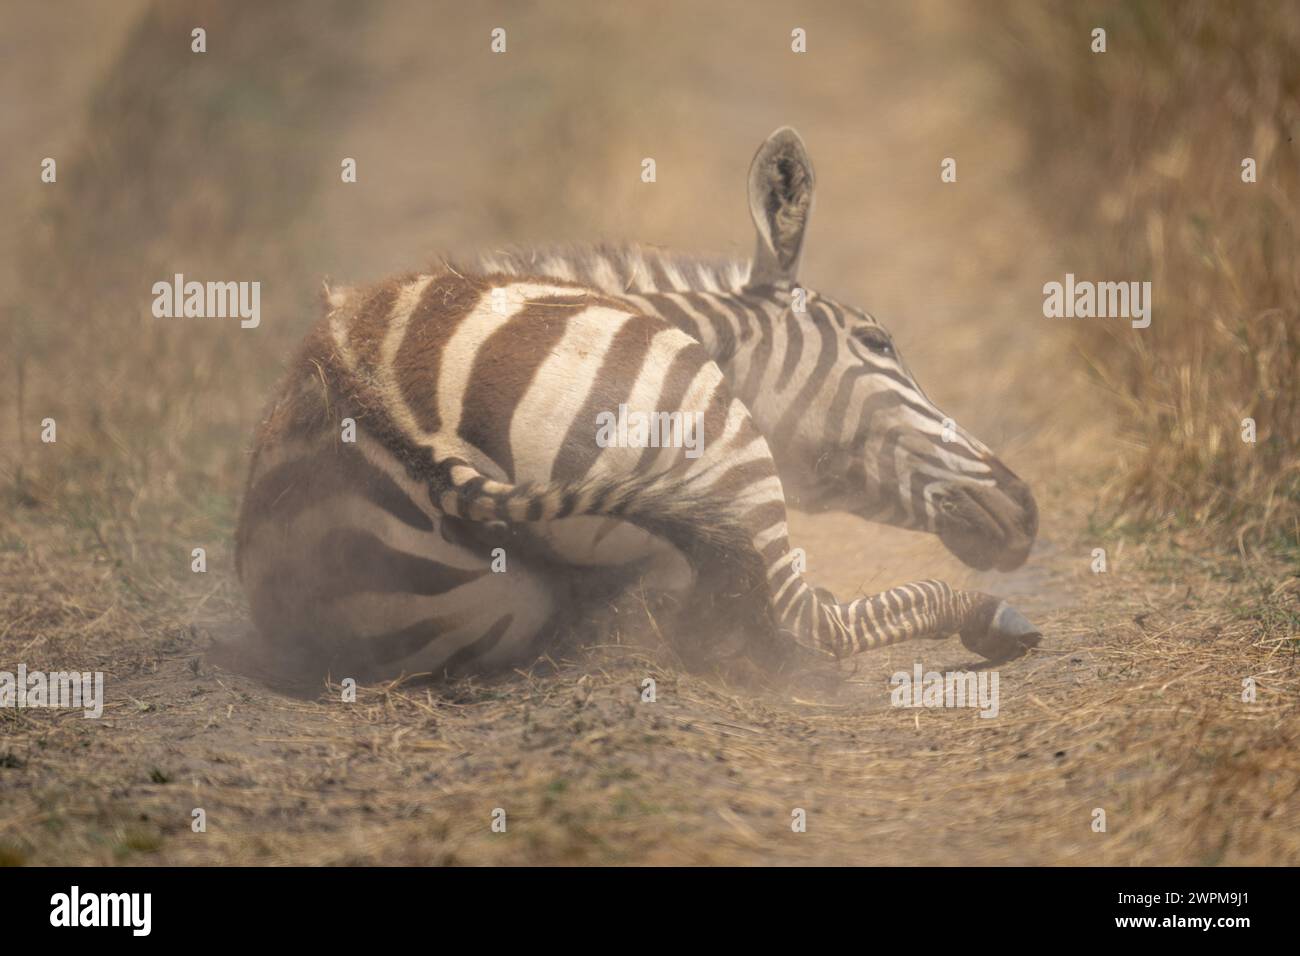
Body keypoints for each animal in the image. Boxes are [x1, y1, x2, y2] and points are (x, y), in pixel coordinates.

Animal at [235, 127, 1040, 681]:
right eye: (876, 341)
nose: (1026, 506)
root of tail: (386, 407)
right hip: (721, 435)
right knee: (809, 623)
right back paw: (989, 616)